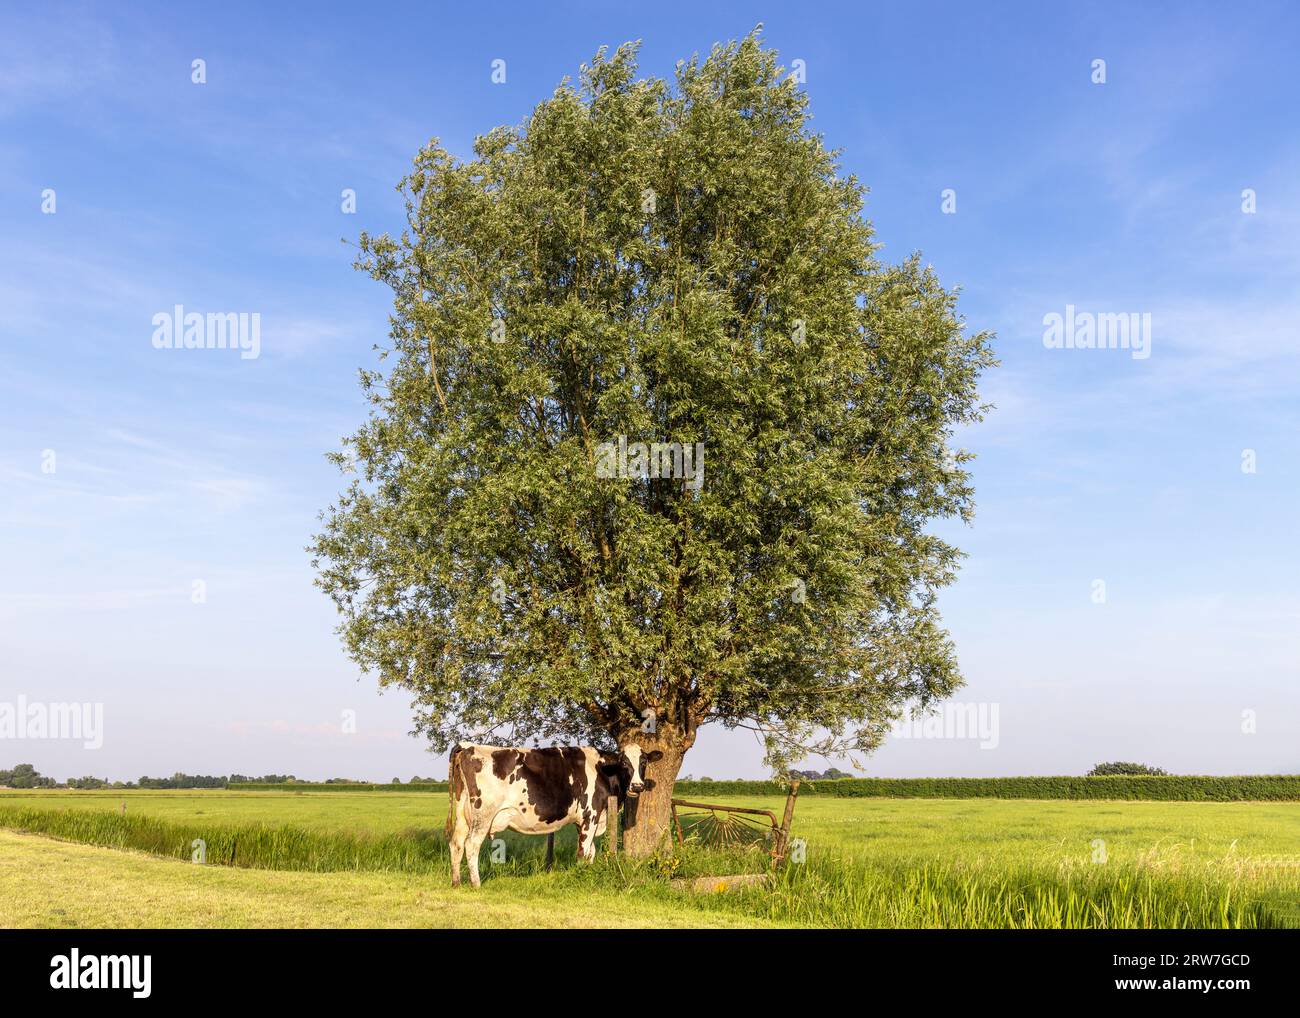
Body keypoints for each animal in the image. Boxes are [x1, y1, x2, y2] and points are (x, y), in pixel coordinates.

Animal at [445, 742, 662, 888]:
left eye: (643, 762)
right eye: (624, 763)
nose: (637, 786)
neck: (603, 771)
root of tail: (467, 746)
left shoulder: (582, 820)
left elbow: (591, 851)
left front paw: (588, 873)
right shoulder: (591, 814)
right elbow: (583, 852)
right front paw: (581, 877)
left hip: (463, 815)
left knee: (456, 843)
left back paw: (456, 882)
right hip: (483, 815)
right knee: (471, 845)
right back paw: (476, 884)